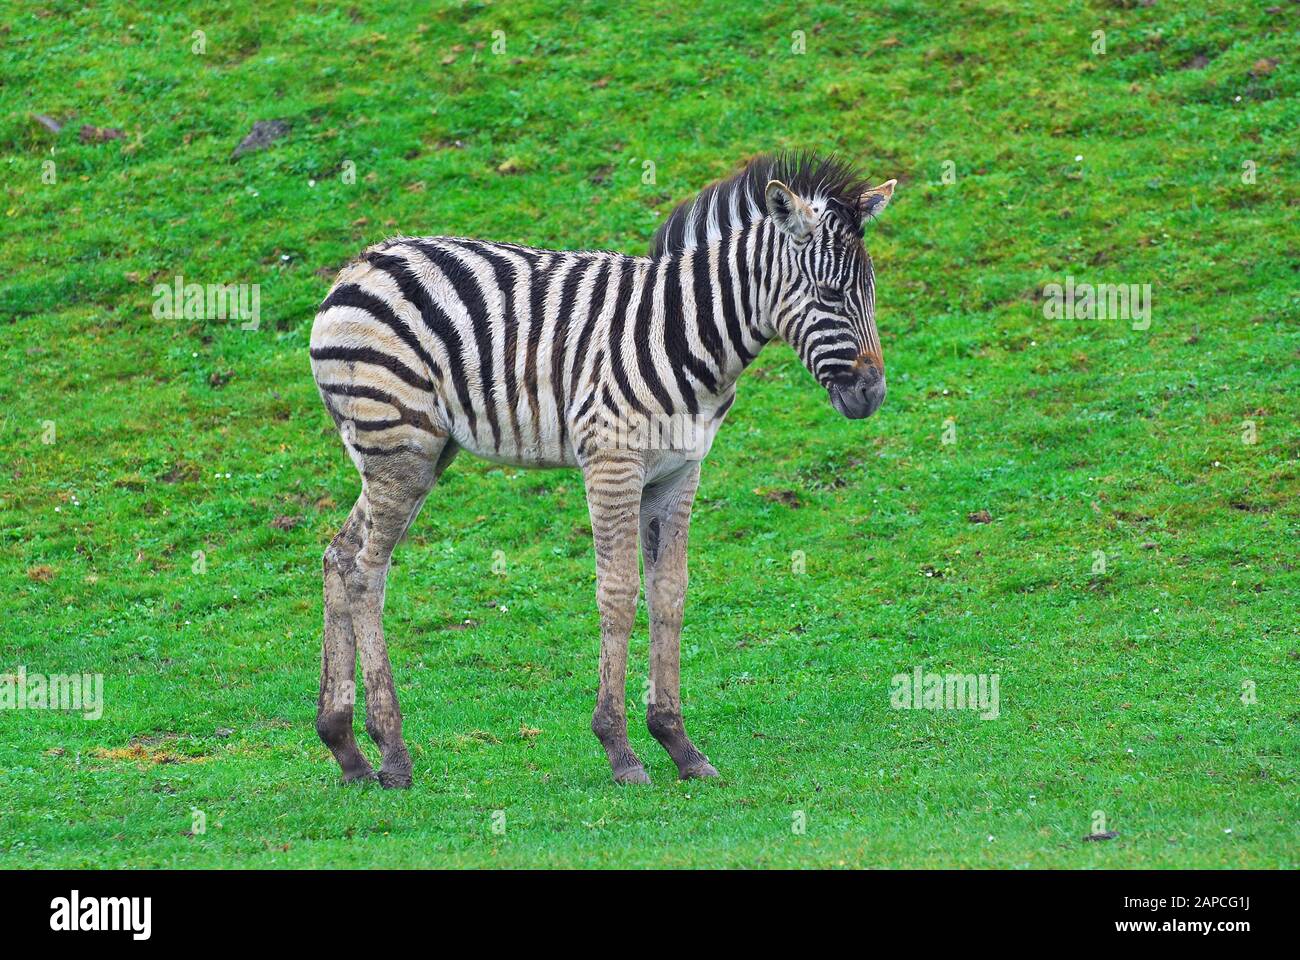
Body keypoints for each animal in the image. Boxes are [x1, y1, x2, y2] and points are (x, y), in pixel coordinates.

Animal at [309, 151, 897, 787]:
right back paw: (392, 752)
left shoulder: (679, 471)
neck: (684, 332)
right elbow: (618, 592)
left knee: (339, 555)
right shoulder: (612, 461)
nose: (872, 396)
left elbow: (669, 592)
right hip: (400, 443)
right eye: (830, 294)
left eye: (870, 293)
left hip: (414, 450)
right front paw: (620, 749)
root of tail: (359, 264)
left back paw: (346, 748)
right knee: (367, 572)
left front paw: (679, 744)